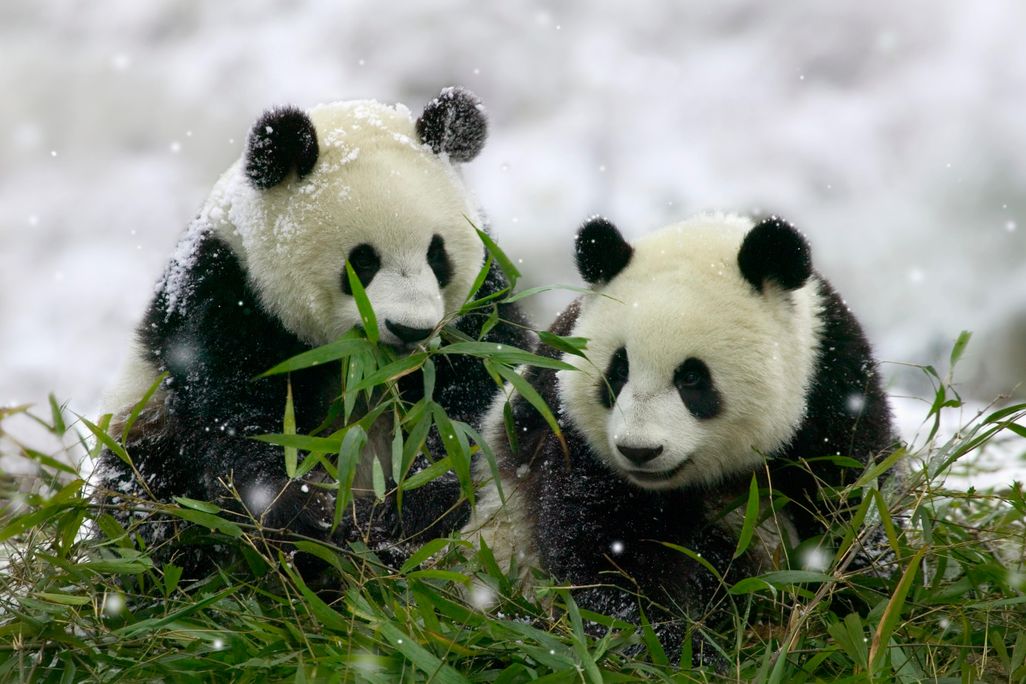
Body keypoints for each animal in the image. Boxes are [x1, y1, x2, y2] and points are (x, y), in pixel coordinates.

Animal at [93, 86, 529, 573]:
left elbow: (470, 409)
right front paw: (312, 517)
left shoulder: (478, 311)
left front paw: (405, 515)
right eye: (362, 262)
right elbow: (240, 423)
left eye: (438, 255)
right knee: (145, 501)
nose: (411, 329)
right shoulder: (224, 297)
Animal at [463, 213, 896, 662]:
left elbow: (851, 502)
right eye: (618, 371)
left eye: (691, 378)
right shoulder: (572, 431)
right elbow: (609, 550)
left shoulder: (832, 381)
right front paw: (682, 649)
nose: (639, 451)